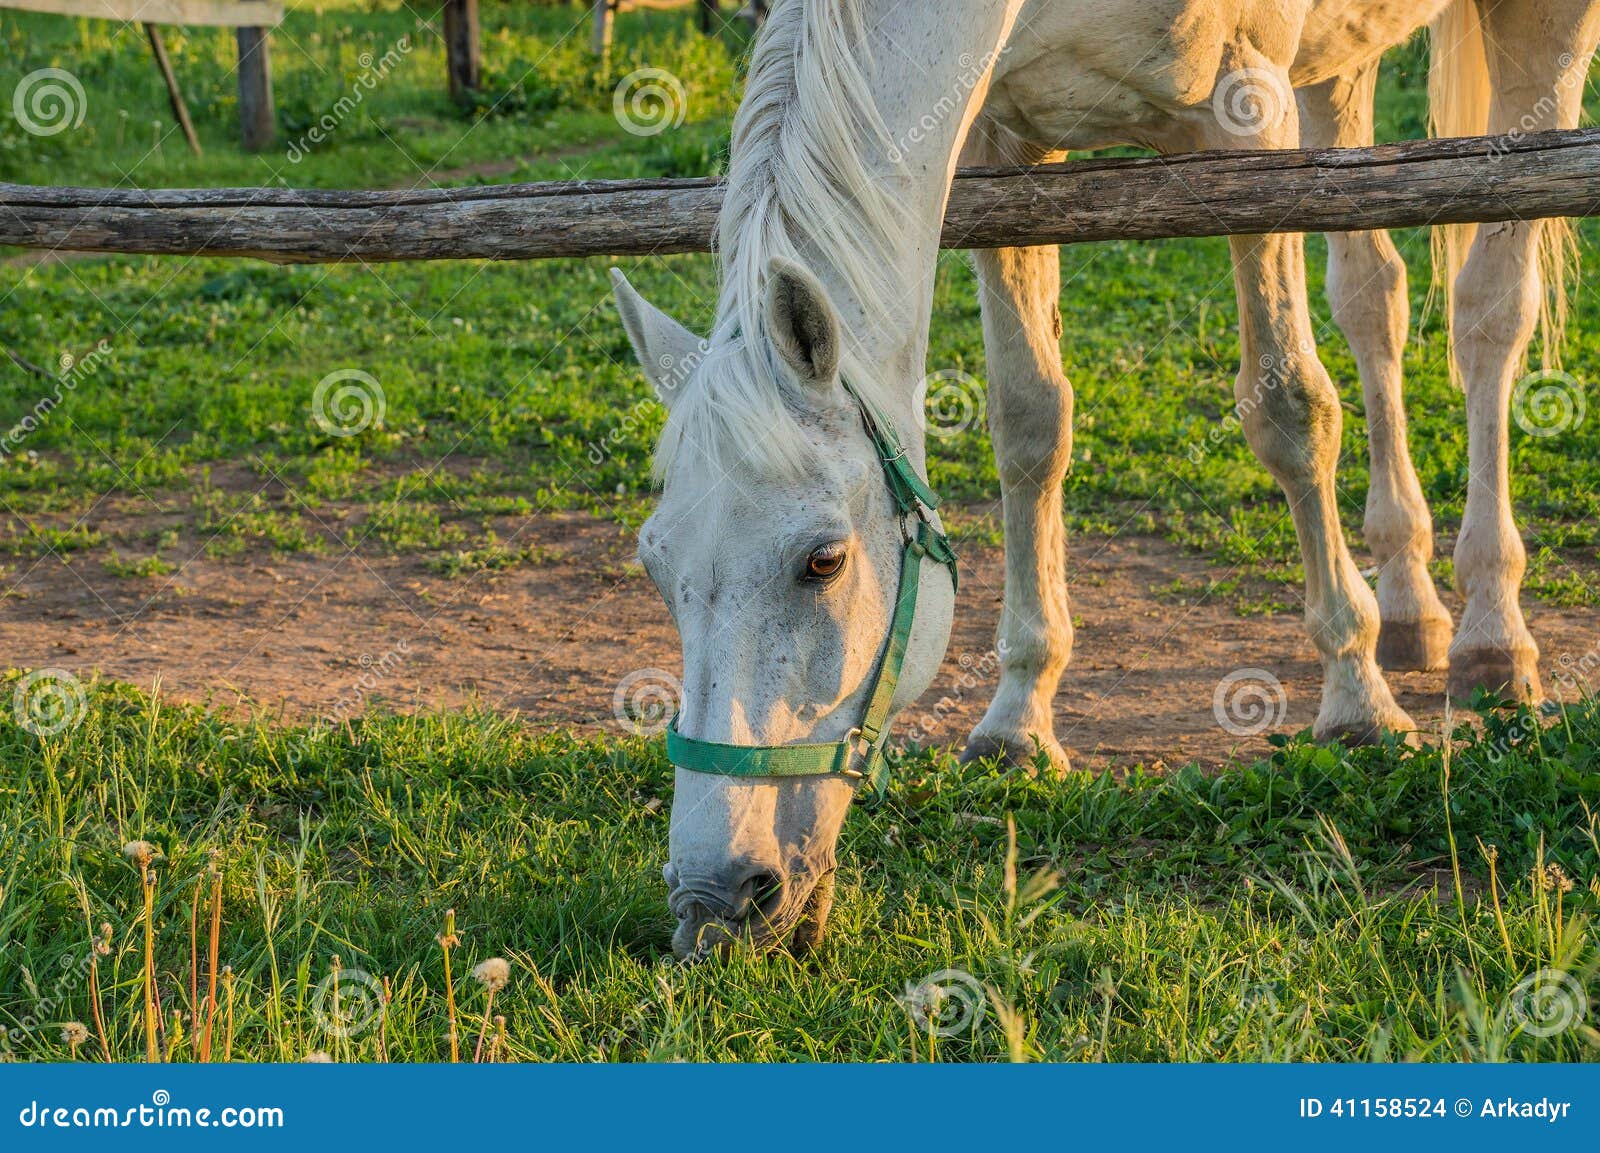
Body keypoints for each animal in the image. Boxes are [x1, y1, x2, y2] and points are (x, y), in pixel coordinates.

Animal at [609, 0, 1600, 958]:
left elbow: (1290, 410)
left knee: (1490, 312)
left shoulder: (1248, 116)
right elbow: (1029, 420)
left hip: (1535, 36)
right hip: (1344, 68)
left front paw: (1355, 697)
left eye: (824, 560)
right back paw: (1408, 603)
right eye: (655, 566)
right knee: (1373, 296)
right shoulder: (1001, 143)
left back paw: (1490, 630)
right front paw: (1019, 716)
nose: (713, 899)